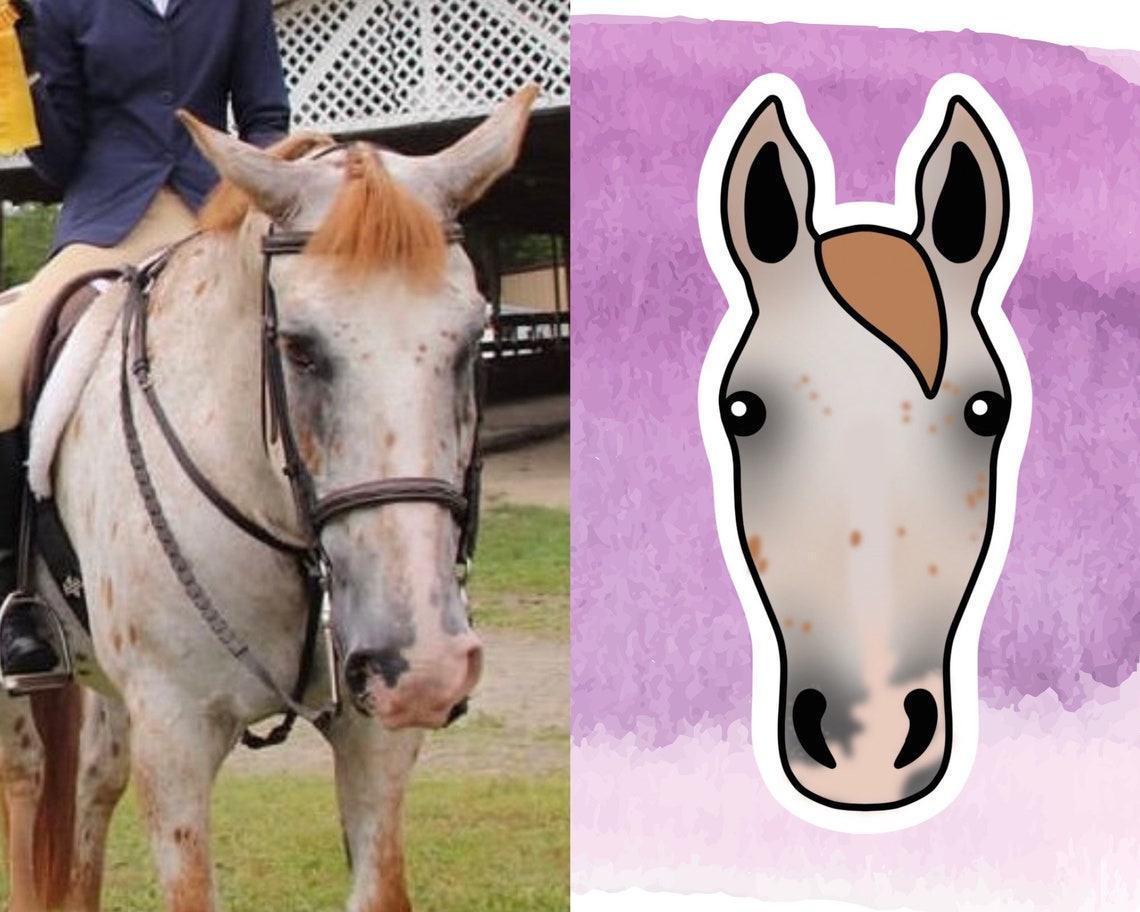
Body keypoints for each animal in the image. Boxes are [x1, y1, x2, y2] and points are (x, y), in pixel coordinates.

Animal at [0, 84, 537, 911]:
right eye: (299, 348)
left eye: (471, 340)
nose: (426, 666)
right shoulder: (177, 739)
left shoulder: (375, 737)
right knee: (26, 780)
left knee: (92, 783)